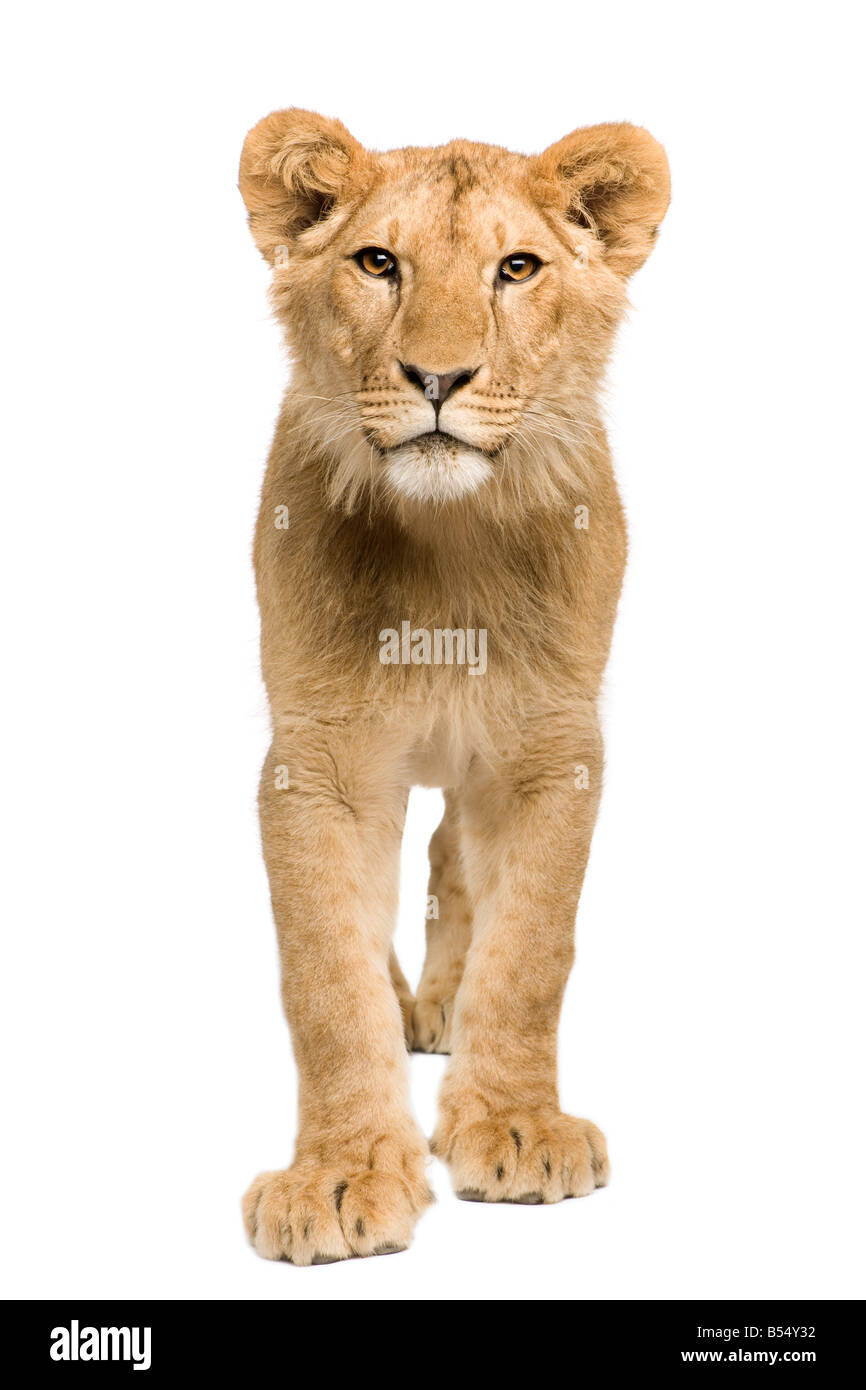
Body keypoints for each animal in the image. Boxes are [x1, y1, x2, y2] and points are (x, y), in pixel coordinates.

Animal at [238, 110, 669, 1263]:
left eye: (515, 268)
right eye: (377, 263)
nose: (438, 377)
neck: (446, 551)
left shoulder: (551, 749)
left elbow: (528, 951)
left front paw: (515, 1127)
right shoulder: (315, 760)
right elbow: (324, 972)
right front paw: (340, 1174)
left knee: (448, 864)